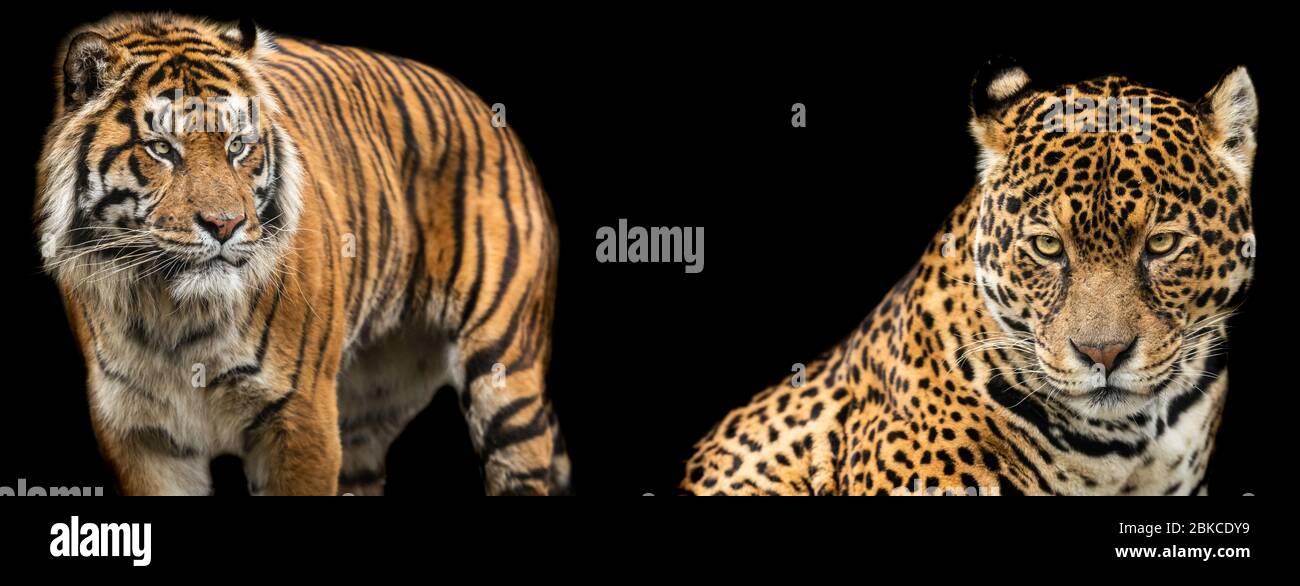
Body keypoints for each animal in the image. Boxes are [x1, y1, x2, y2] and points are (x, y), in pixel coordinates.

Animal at [35, 12, 568, 495]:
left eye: (238, 145)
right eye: (162, 149)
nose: (225, 225)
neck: (176, 318)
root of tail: (486, 110)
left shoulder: (299, 415)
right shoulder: (141, 435)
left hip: (505, 376)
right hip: (364, 412)